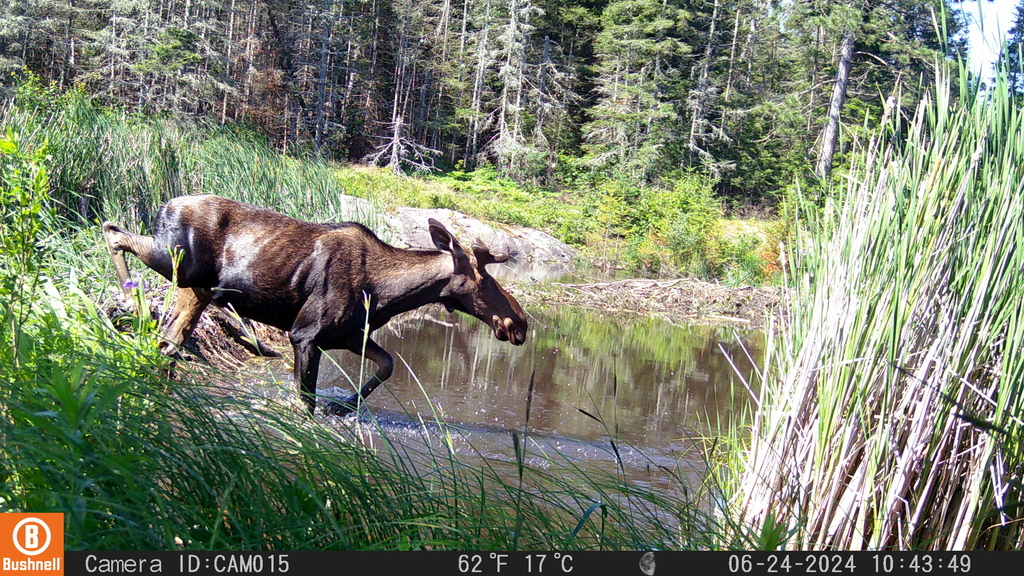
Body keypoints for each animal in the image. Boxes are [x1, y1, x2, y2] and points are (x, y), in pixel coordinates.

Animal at [102, 194, 528, 415]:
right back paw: (128, 301)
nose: (520, 323)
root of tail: (164, 205)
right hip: (175, 260)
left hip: (196, 289)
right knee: (113, 231)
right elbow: (304, 401)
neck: (385, 295)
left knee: (168, 342)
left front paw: (344, 406)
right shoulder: (305, 334)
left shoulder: (347, 335)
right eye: (487, 281)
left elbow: (387, 364)